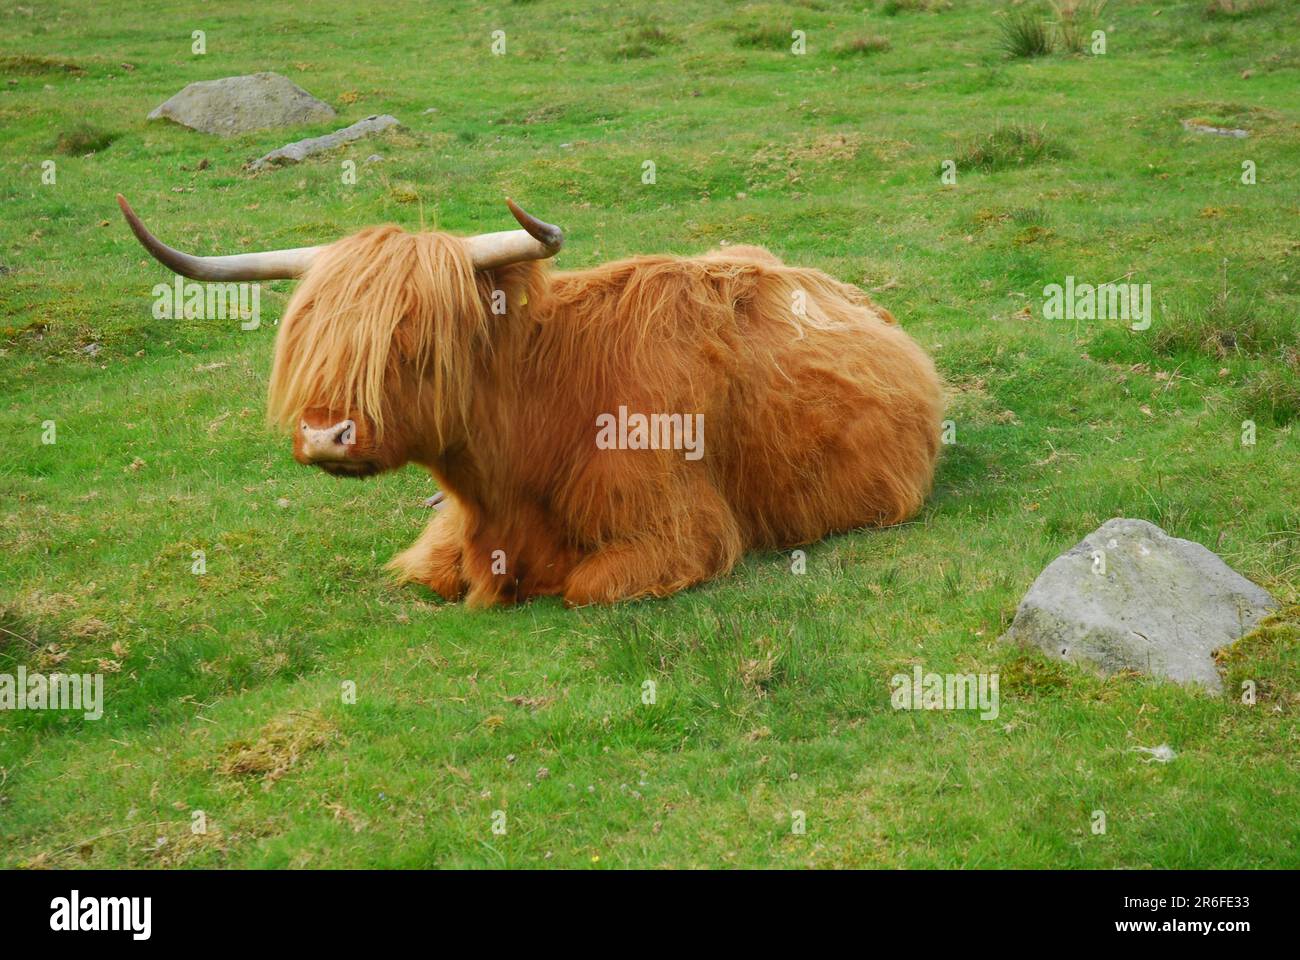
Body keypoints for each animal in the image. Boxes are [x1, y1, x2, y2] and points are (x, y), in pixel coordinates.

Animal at [118, 195, 944, 606]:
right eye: (315, 334)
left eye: (415, 334)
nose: (327, 435)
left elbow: (580, 585)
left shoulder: (682, 534)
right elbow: (430, 569)